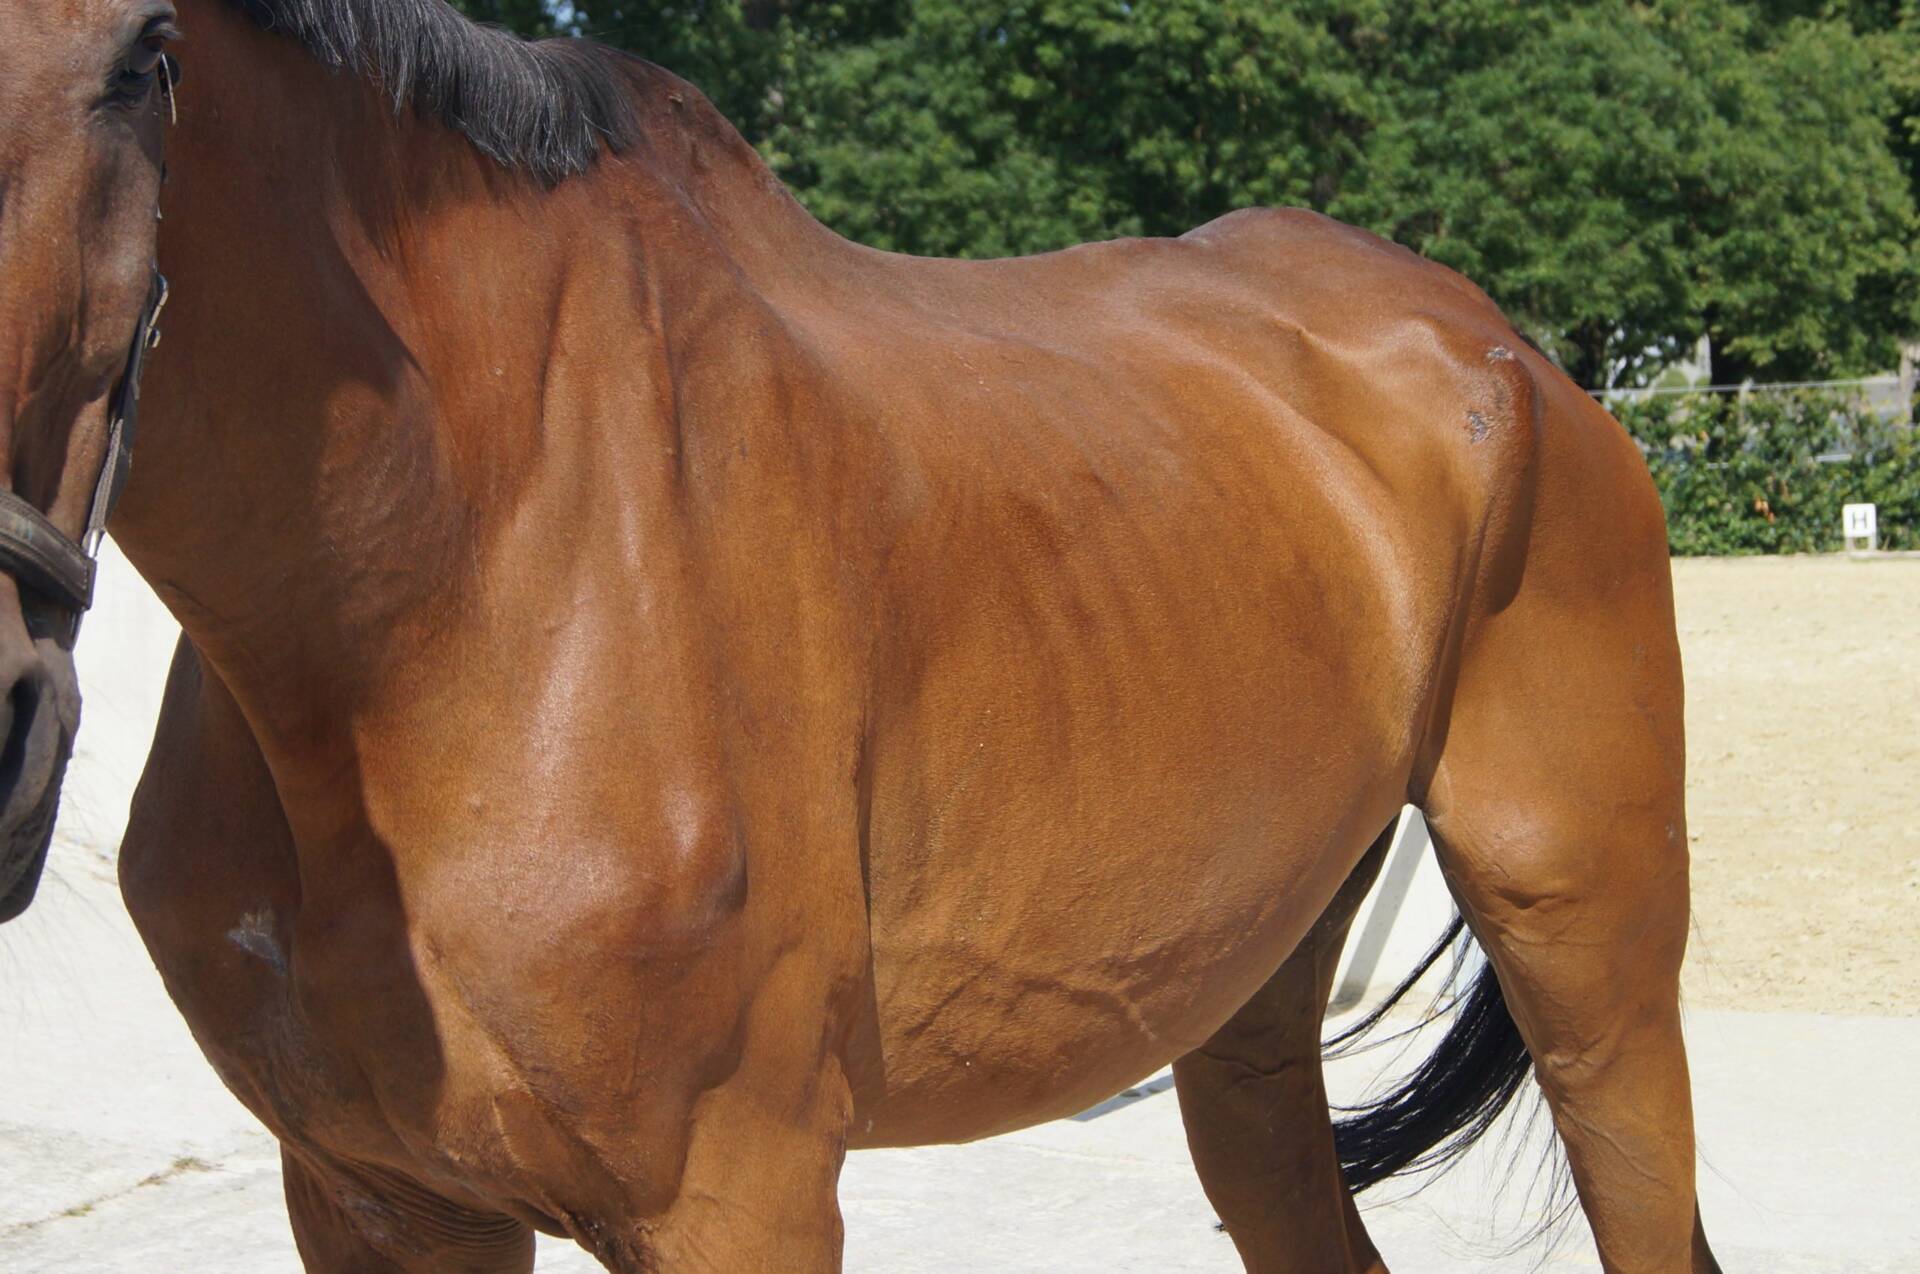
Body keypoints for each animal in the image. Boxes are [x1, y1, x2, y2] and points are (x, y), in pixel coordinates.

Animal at [2, 2, 1722, 1270]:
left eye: (146, 52)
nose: (9, 717)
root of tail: (1513, 357)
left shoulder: (735, 1193)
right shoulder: (381, 1201)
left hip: (1594, 957)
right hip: (1247, 1006)